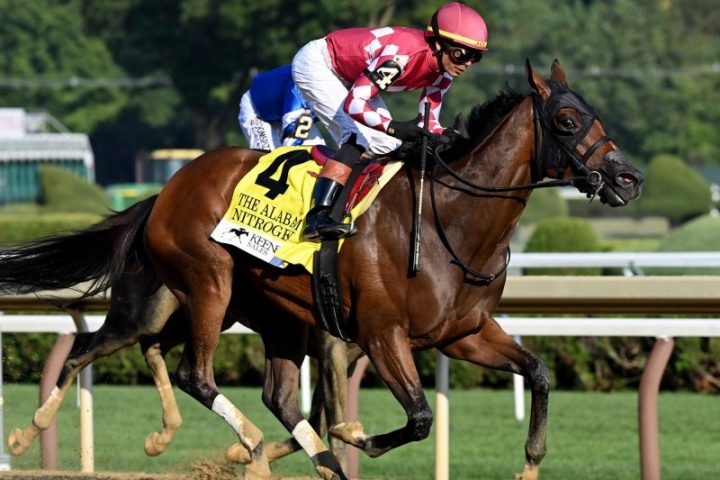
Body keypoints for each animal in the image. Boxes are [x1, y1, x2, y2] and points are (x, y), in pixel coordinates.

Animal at [0, 60, 643, 480]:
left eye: (594, 114)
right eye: (567, 120)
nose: (630, 178)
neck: (449, 222)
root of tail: (164, 191)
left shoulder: (461, 334)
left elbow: (538, 372)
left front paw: (530, 462)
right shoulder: (380, 335)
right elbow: (417, 418)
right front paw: (354, 435)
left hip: (260, 315)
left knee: (254, 388)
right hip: (202, 286)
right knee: (177, 369)